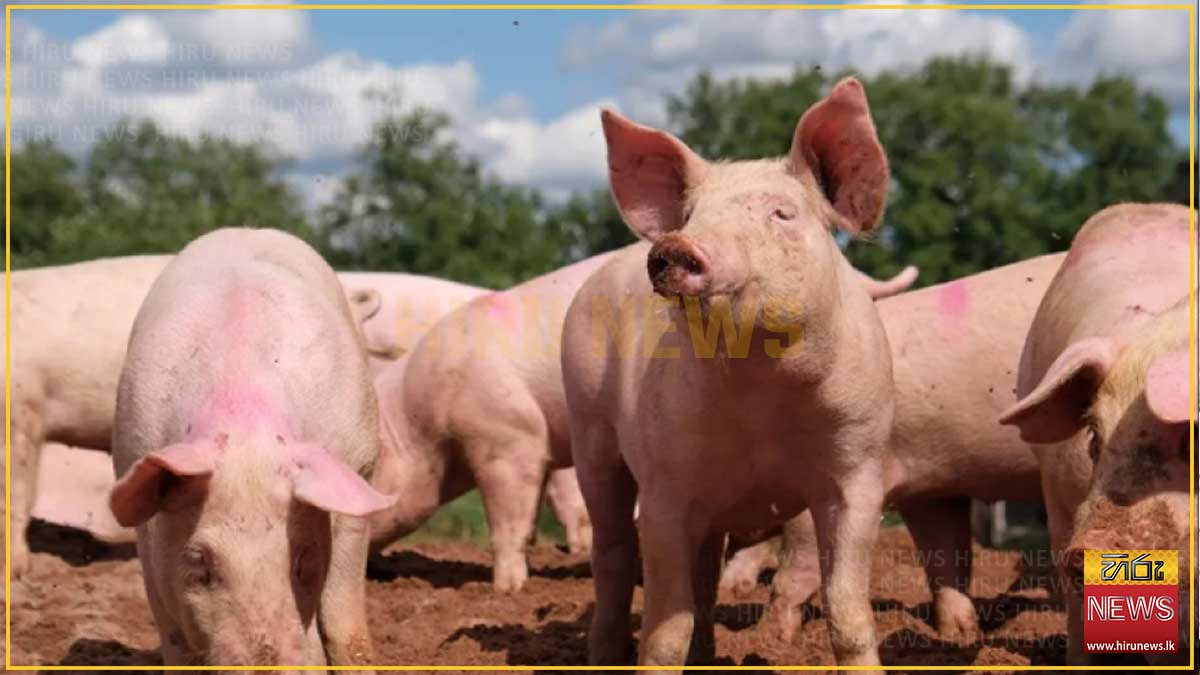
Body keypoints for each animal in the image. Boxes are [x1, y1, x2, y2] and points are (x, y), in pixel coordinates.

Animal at [109, 227, 396, 669]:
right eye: (200, 561)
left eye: (302, 560)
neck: (244, 421)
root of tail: (246, 230)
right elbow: (173, 637)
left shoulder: (359, 464)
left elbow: (342, 618)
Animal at [560, 78, 896, 670]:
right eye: (691, 215)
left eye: (782, 213)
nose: (674, 246)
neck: (763, 391)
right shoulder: (666, 487)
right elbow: (664, 630)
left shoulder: (860, 470)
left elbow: (847, 611)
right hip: (590, 433)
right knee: (613, 553)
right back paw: (604, 655)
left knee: (704, 577)